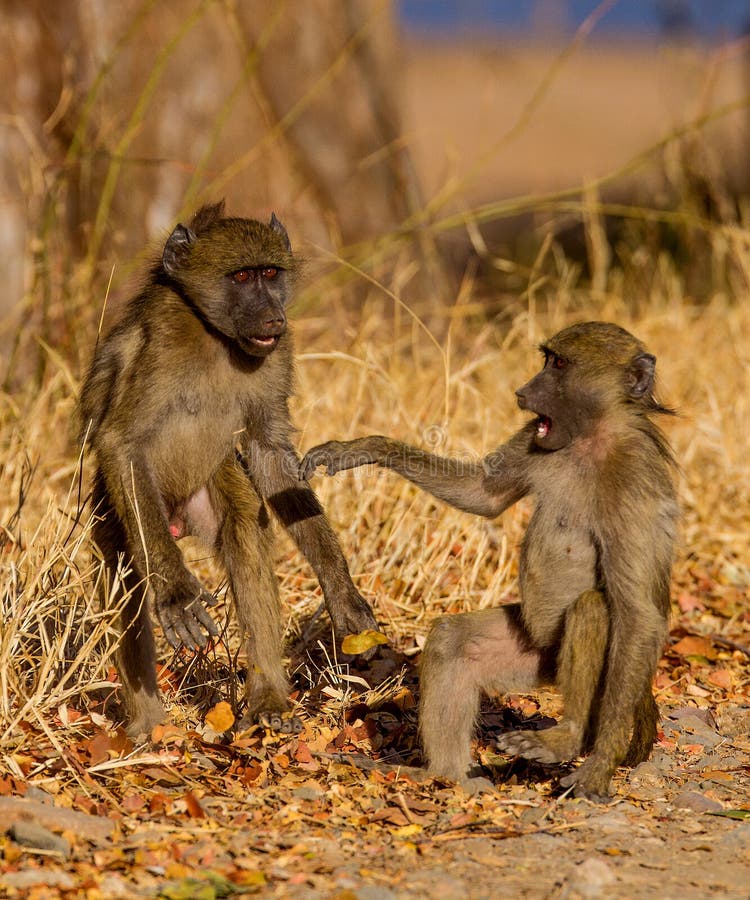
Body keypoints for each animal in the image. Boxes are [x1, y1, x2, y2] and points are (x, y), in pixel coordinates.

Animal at [79, 201, 378, 738]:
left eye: (269, 273)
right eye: (240, 276)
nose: (273, 315)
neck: (215, 337)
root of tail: (175, 518)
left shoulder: (278, 351)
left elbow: (270, 453)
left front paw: (341, 591)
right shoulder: (164, 339)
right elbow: (121, 441)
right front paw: (179, 596)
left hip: (211, 482)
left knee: (245, 530)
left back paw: (267, 701)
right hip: (123, 510)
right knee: (127, 580)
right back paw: (147, 724)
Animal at [299, 322, 678, 799]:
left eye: (559, 364)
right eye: (547, 360)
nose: (523, 392)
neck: (591, 438)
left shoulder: (635, 480)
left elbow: (639, 613)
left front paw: (600, 764)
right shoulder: (535, 434)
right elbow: (482, 492)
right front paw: (362, 448)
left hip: (583, 672)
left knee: (593, 608)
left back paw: (566, 738)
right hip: (534, 657)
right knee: (452, 641)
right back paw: (442, 775)